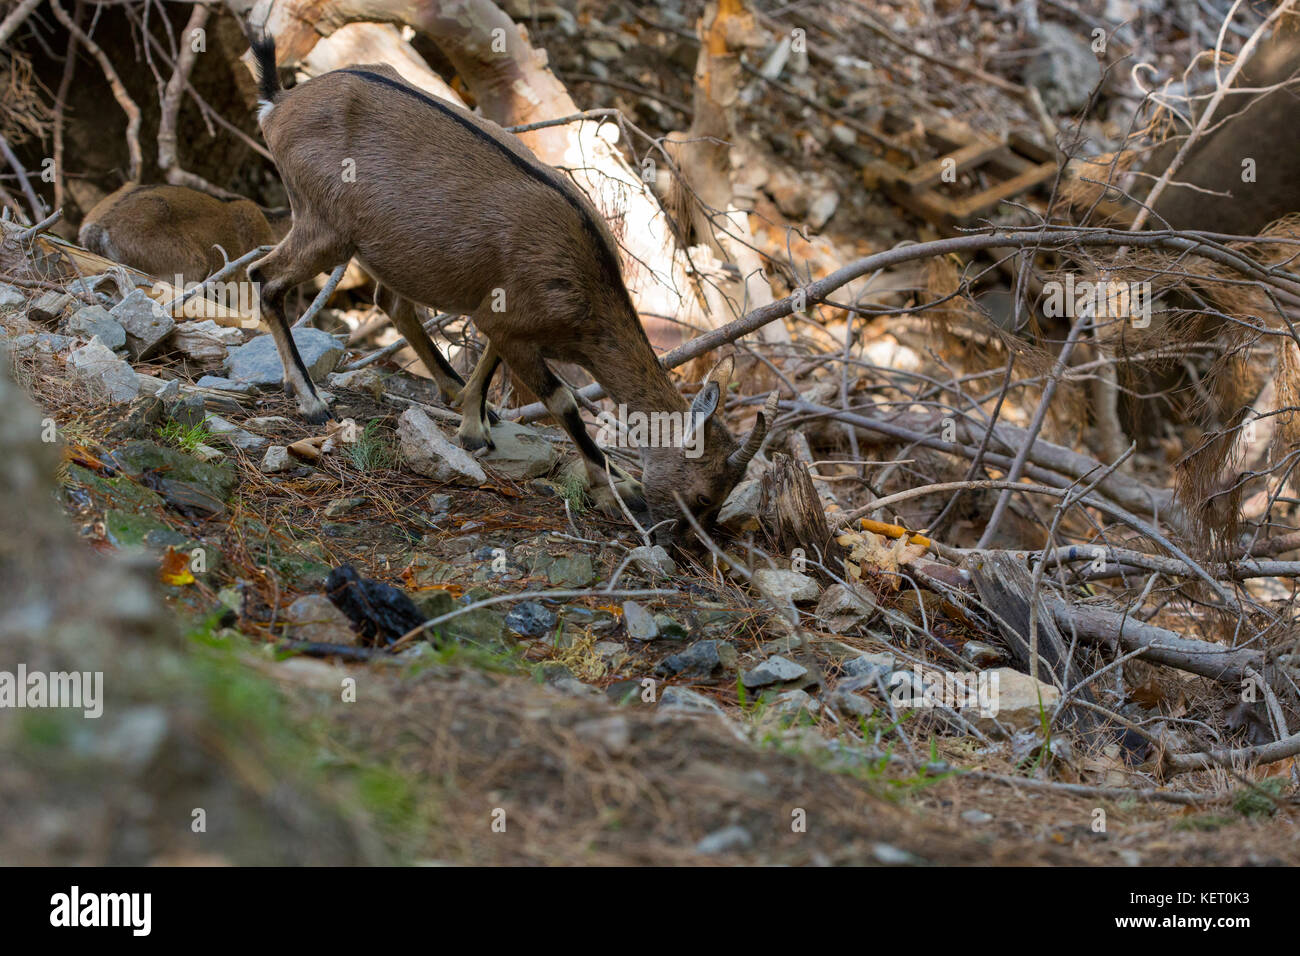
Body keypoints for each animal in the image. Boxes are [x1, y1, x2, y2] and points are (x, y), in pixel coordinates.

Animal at [246, 34, 772, 537]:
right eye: (704, 495)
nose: (681, 543)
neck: (588, 293)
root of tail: (277, 105)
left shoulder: (498, 311)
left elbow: (489, 359)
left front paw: (473, 424)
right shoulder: (516, 318)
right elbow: (561, 399)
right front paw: (613, 490)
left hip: (385, 247)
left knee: (389, 299)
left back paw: (448, 389)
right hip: (325, 225)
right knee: (264, 278)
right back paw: (312, 402)